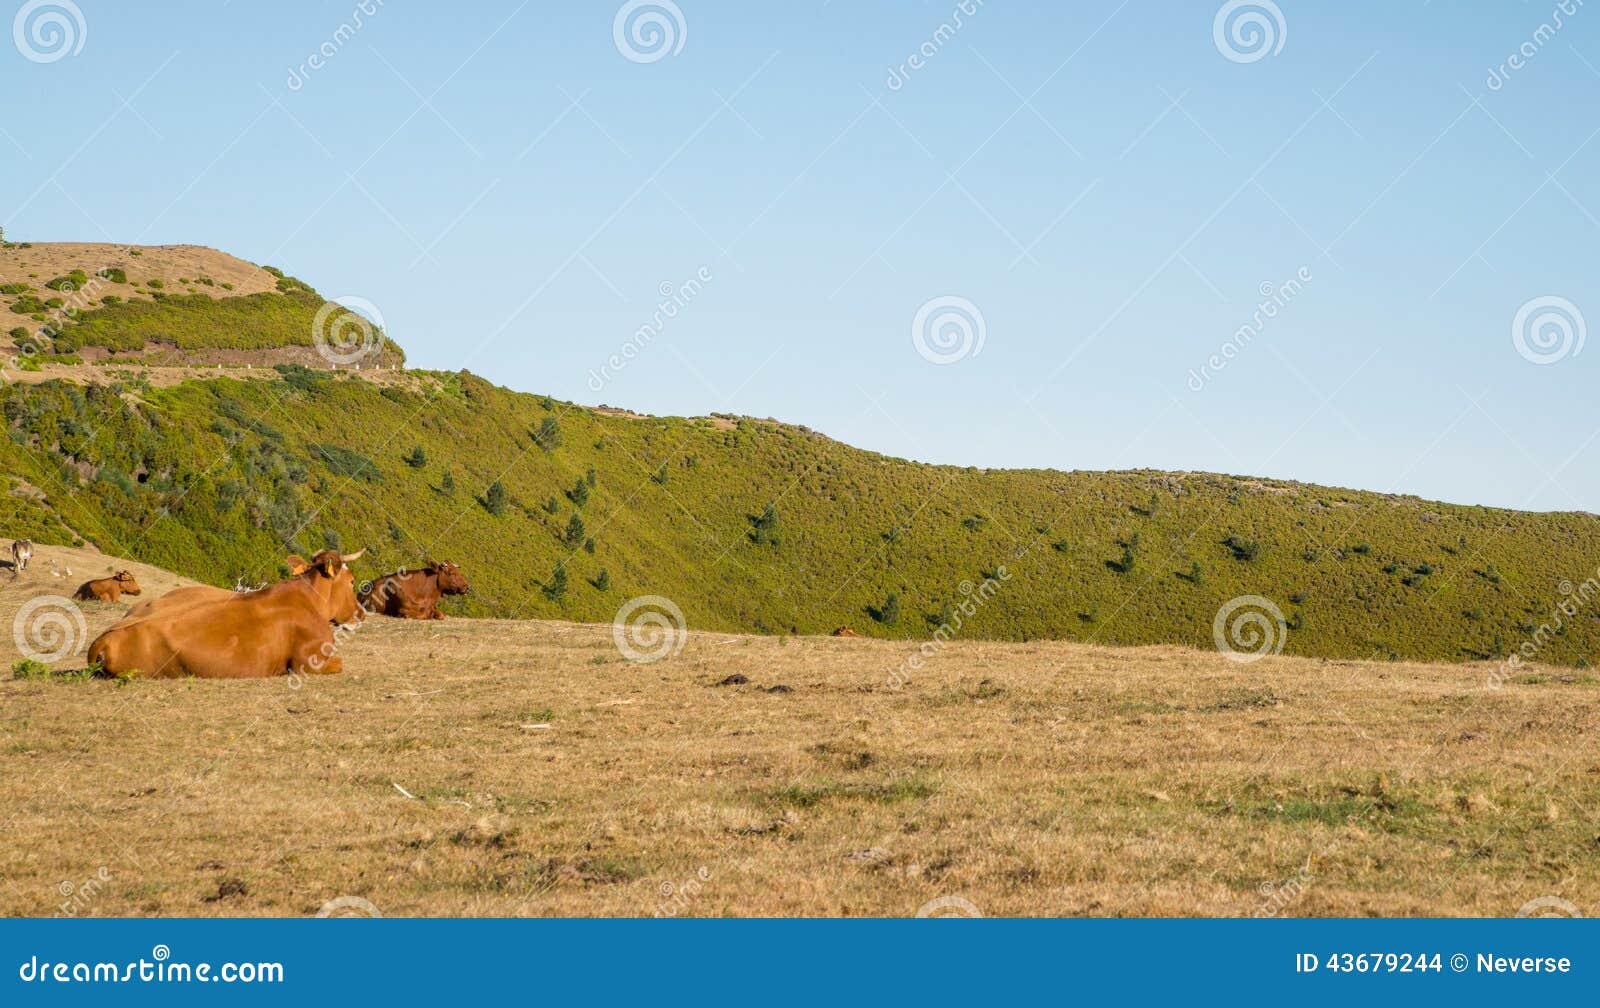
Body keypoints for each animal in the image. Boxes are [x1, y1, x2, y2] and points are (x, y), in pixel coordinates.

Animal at [88, 548, 365, 680]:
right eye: (352, 581)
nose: (361, 615)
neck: (310, 600)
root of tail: (104, 639)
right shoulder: (307, 662)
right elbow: (340, 663)